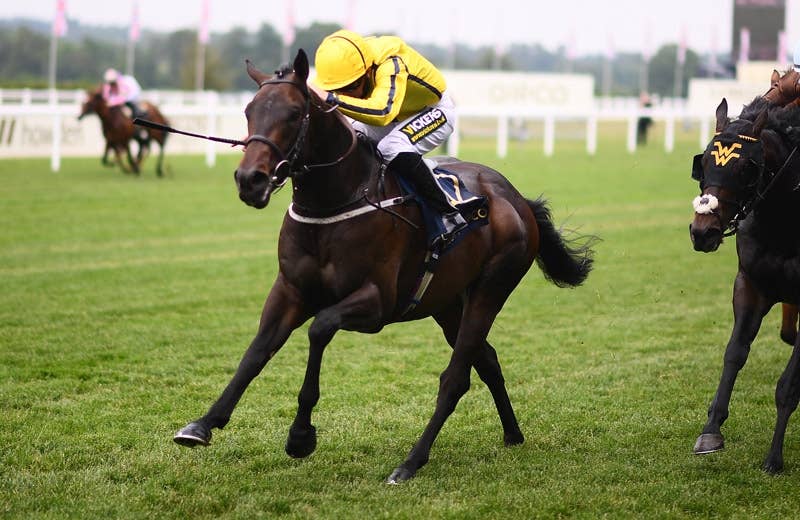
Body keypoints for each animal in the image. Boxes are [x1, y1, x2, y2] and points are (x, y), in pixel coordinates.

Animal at [172, 50, 596, 483]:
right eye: (249, 111)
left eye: (293, 114)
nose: (250, 180)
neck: (334, 202)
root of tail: (516, 198)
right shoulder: (290, 290)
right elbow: (257, 351)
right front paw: (203, 424)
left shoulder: (376, 303)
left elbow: (319, 329)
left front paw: (301, 435)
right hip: (446, 304)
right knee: (487, 361)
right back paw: (512, 433)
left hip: (490, 290)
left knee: (455, 378)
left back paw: (410, 462)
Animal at [689, 96, 800, 473]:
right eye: (704, 163)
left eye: (745, 170)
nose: (703, 231)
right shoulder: (750, 284)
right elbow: (734, 353)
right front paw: (711, 430)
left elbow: (787, 386)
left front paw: (774, 458)